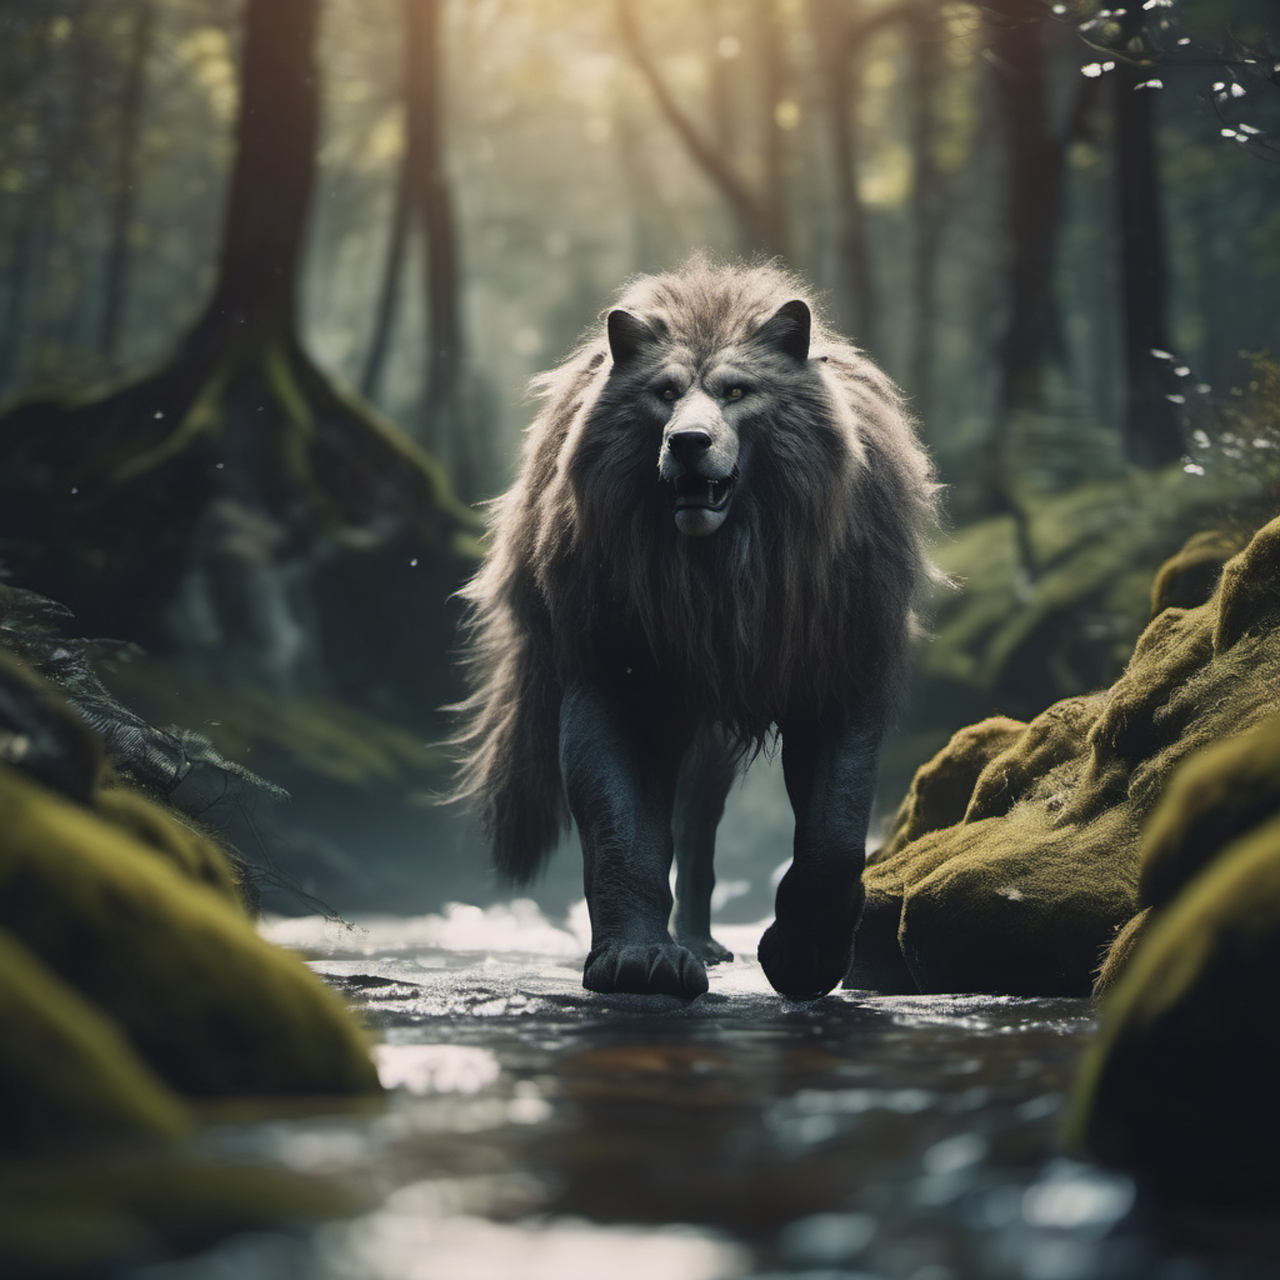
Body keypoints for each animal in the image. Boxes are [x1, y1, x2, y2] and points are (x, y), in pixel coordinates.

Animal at [454, 260, 938, 999]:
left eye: (736, 392)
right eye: (664, 394)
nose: (687, 443)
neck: (721, 578)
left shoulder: (839, 670)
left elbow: (833, 838)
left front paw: (802, 960)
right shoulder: (614, 678)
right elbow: (622, 831)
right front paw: (637, 962)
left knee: (701, 833)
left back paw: (706, 943)